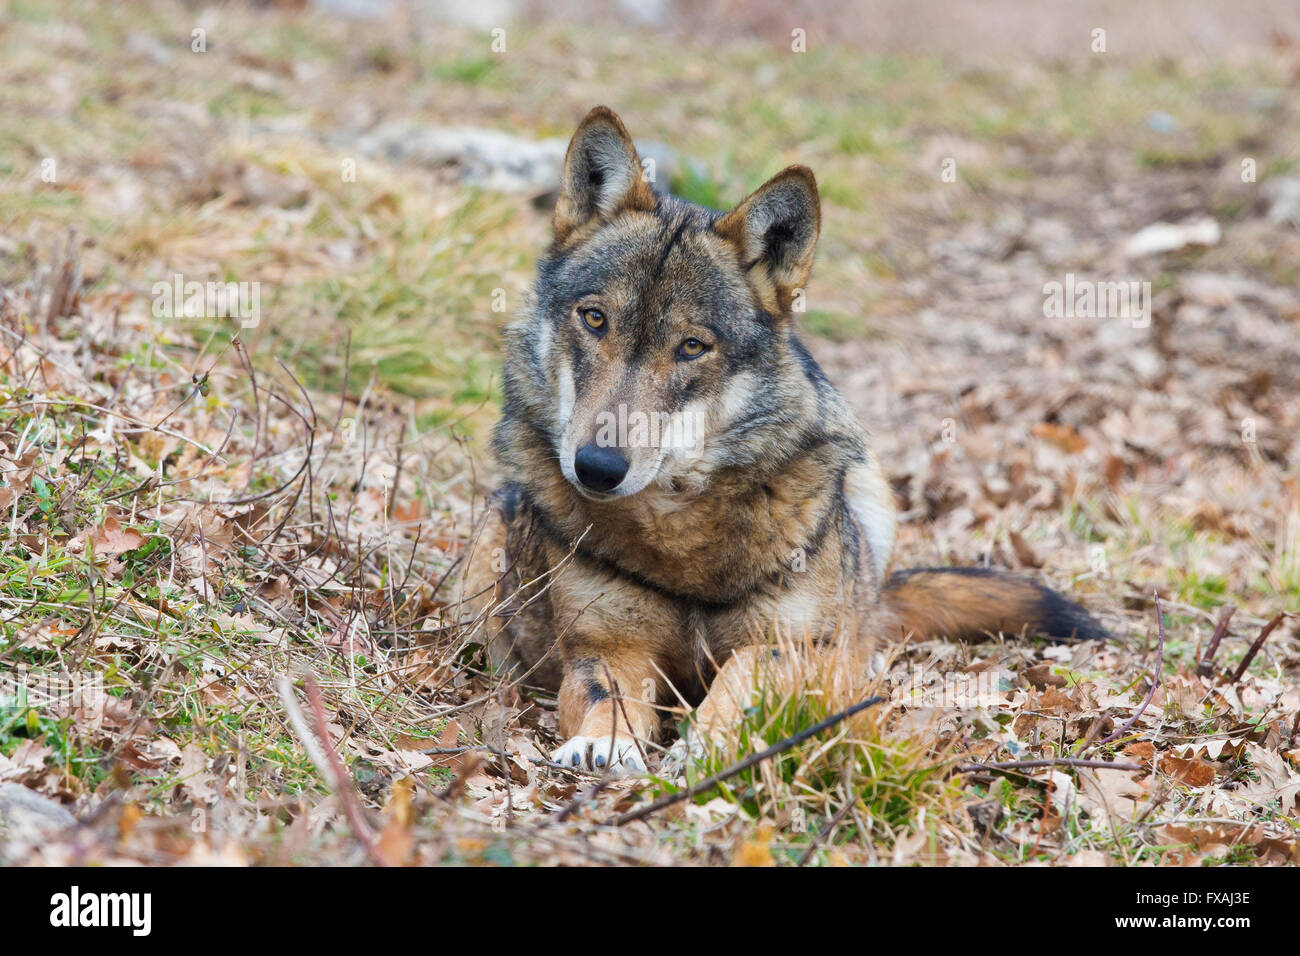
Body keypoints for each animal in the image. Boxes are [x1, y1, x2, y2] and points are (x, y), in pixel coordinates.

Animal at [462, 107, 1106, 774]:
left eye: (692, 346)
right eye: (594, 319)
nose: (595, 466)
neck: (678, 529)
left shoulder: (785, 644)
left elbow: (739, 686)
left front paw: (709, 747)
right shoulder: (605, 647)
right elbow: (603, 694)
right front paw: (603, 744)